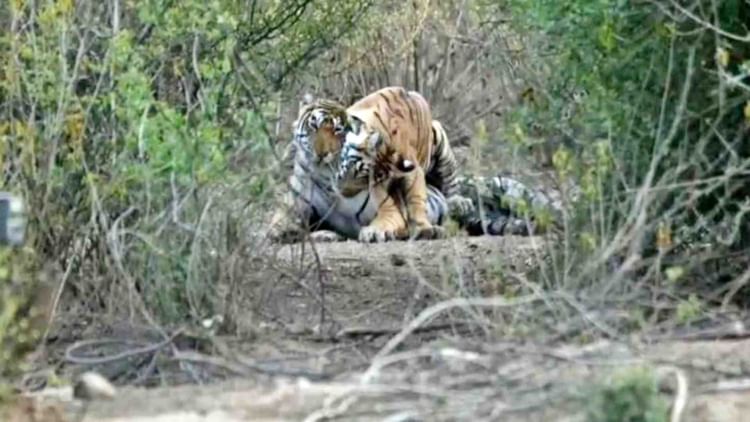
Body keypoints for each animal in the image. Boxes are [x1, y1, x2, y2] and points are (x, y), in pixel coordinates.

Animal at [336, 86, 474, 242]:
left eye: (363, 176)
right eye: (357, 170)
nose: (343, 191)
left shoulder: (412, 171)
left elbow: (416, 200)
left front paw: (424, 228)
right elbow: (386, 202)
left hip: (440, 139)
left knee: (450, 183)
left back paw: (459, 203)